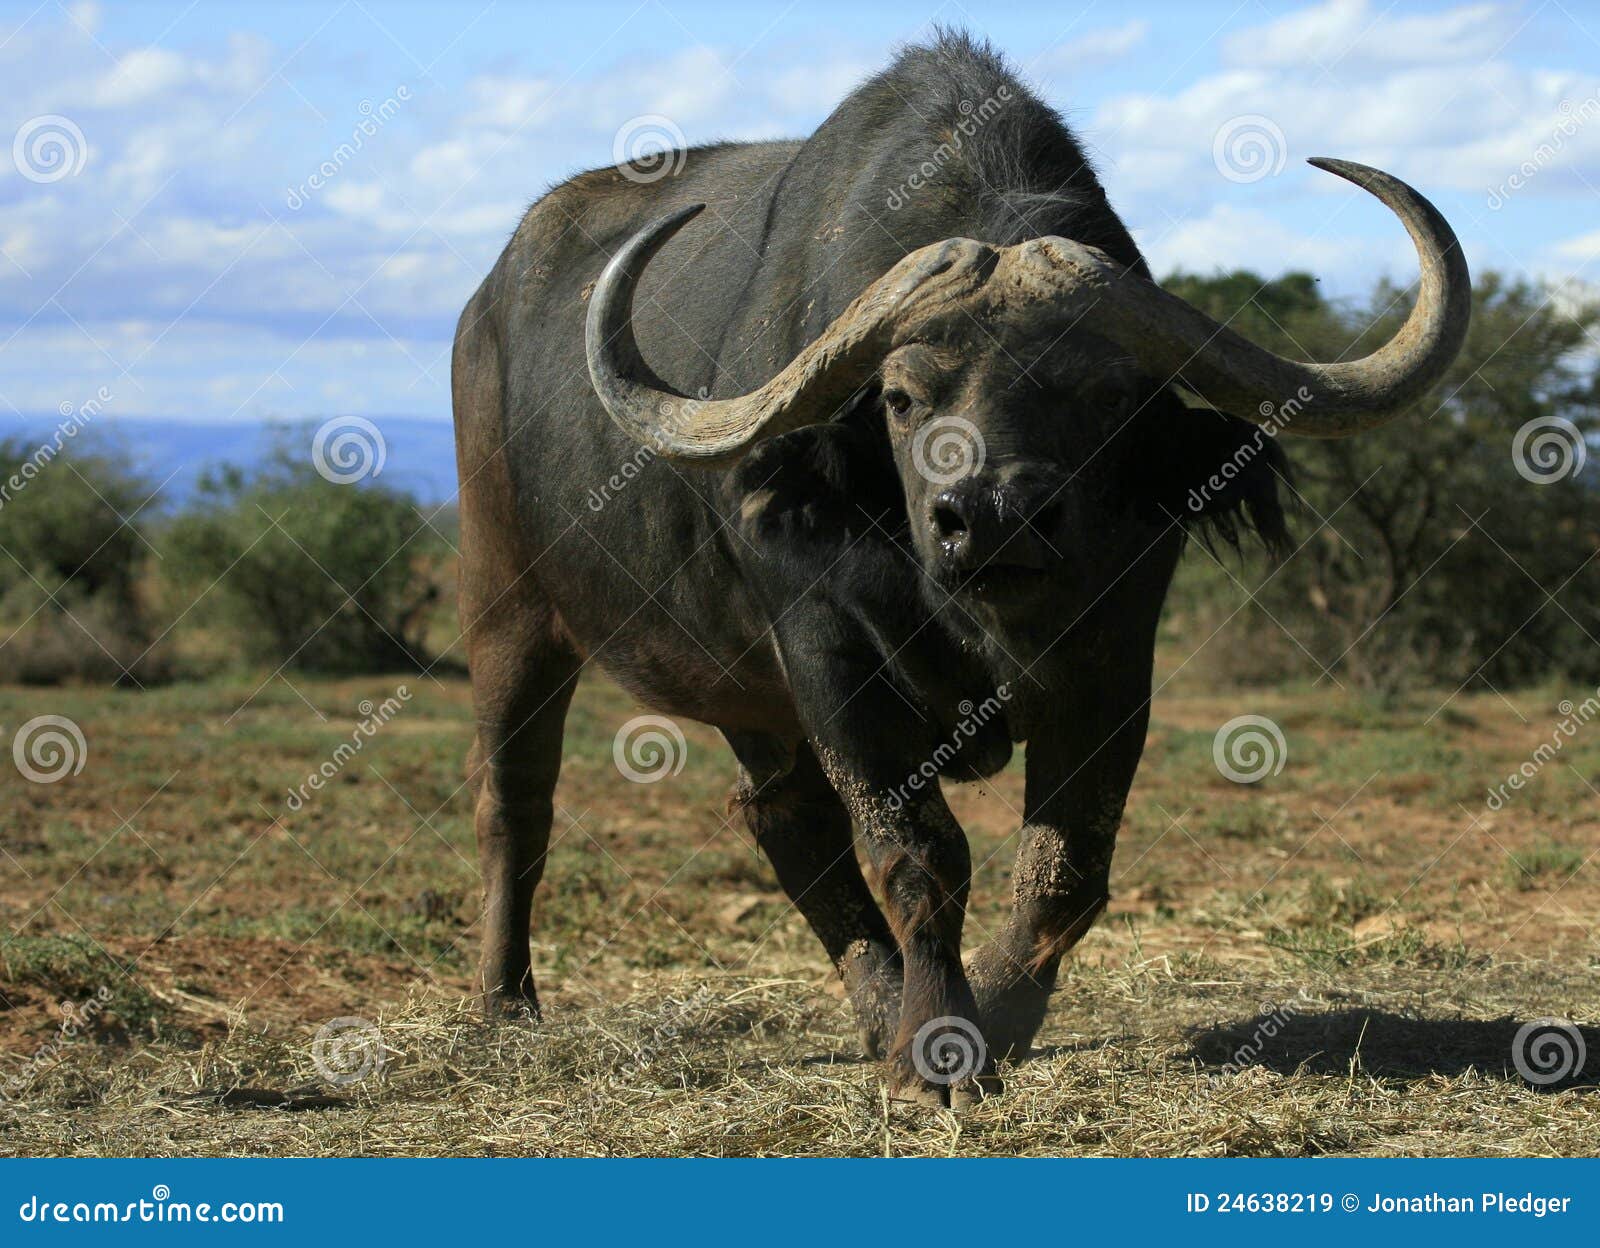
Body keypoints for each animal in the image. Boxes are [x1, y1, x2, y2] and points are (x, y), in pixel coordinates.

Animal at [451, 32, 1469, 1106]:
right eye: (900, 397)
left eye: (1107, 395)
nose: (990, 519)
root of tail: (487, 305)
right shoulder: (829, 659)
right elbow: (919, 855)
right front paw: (933, 1046)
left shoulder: (1114, 661)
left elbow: (1067, 865)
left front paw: (1000, 1013)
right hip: (506, 610)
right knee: (514, 799)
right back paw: (507, 1002)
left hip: (741, 698)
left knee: (783, 820)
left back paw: (871, 1009)